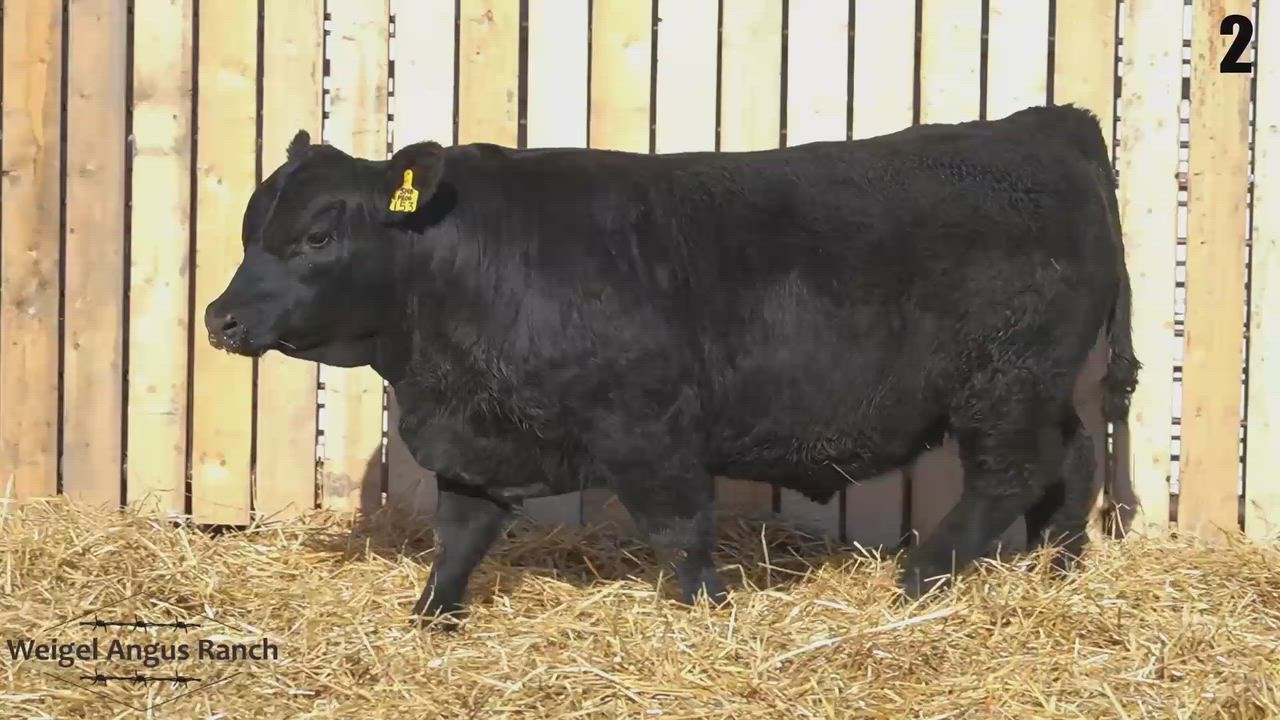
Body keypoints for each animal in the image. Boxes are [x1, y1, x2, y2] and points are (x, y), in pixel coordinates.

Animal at [205, 103, 1139, 624]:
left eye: (317, 236)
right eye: (252, 228)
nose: (220, 318)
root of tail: (1044, 127)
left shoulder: (649, 430)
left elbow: (679, 531)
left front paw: (711, 615)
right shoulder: (474, 440)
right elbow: (460, 537)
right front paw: (431, 616)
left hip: (1003, 387)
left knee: (1009, 476)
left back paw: (923, 578)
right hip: (1041, 389)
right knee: (1072, 462)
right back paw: (1054, 567)